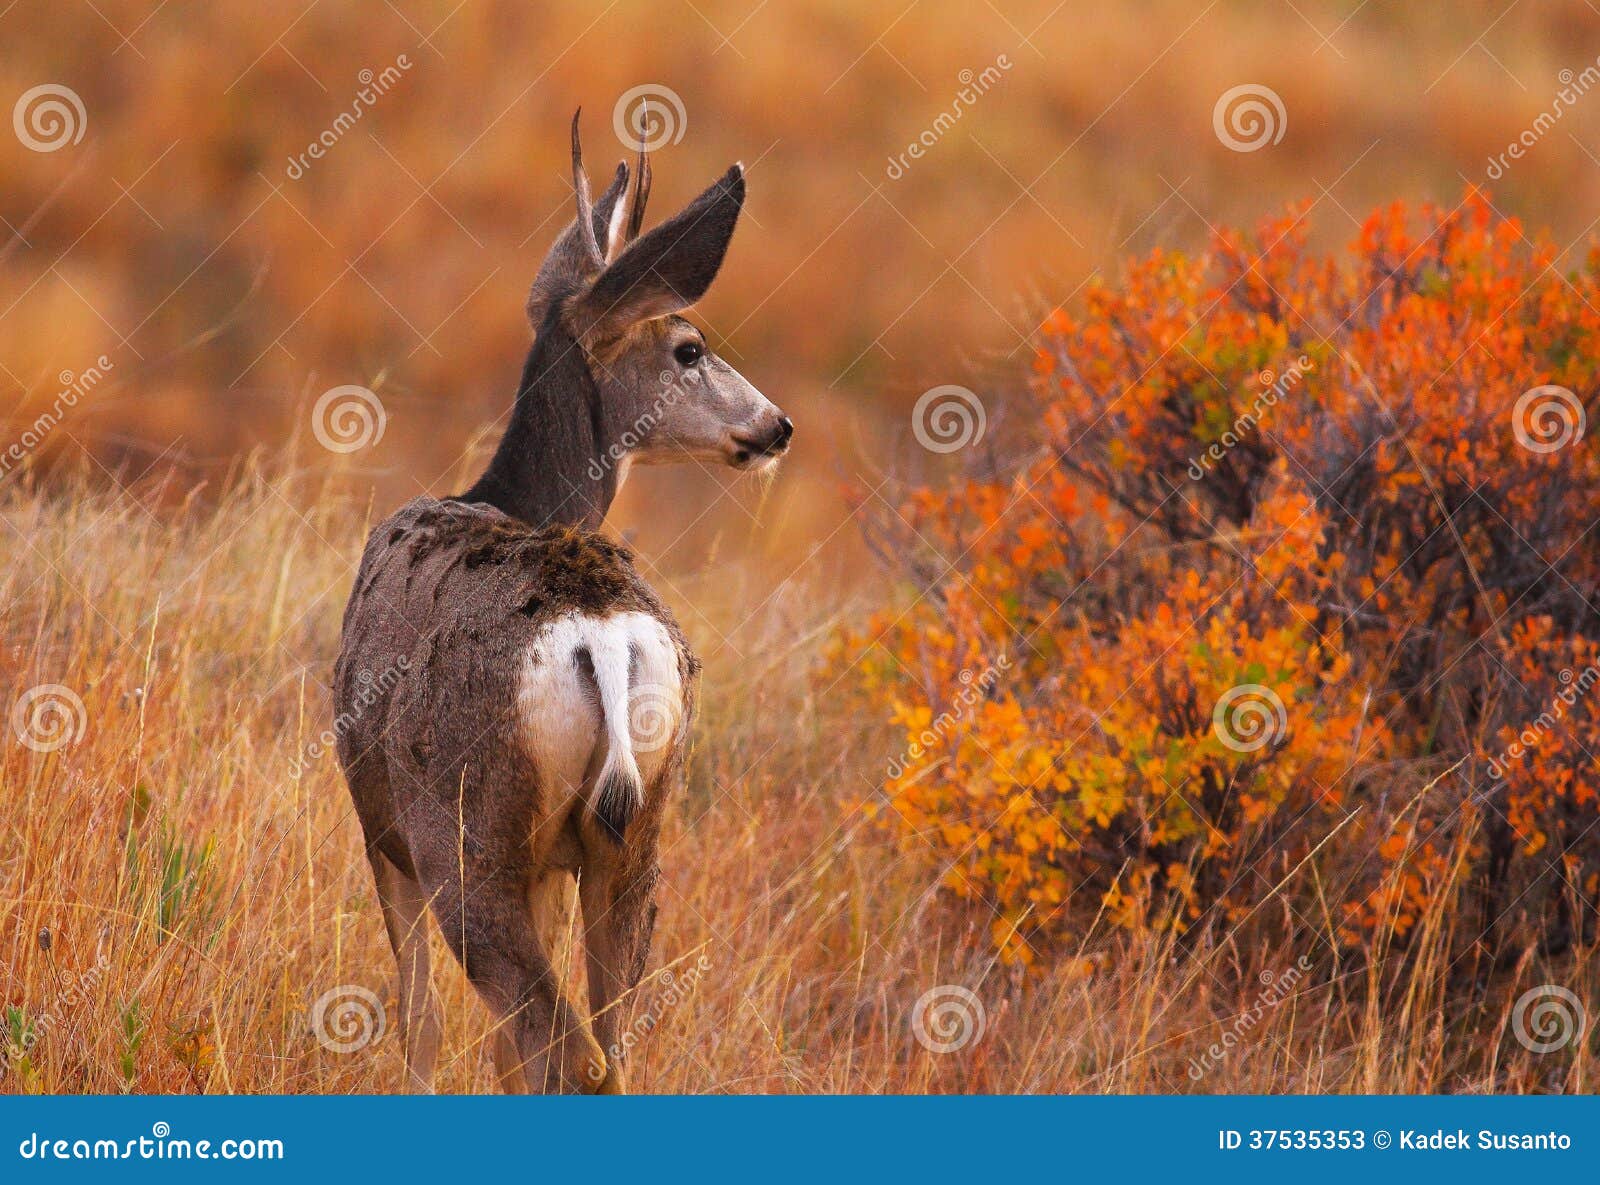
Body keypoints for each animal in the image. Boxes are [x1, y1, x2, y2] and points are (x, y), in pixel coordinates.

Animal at [331, 112, 791, 1094]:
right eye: (689, 348)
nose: (777, 425)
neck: (503, 496)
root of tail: (601, 636)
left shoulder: (379, 823)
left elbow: (420, 1025)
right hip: (637, 840)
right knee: (607, 1046)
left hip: (467, 834)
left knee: (559, 1044)